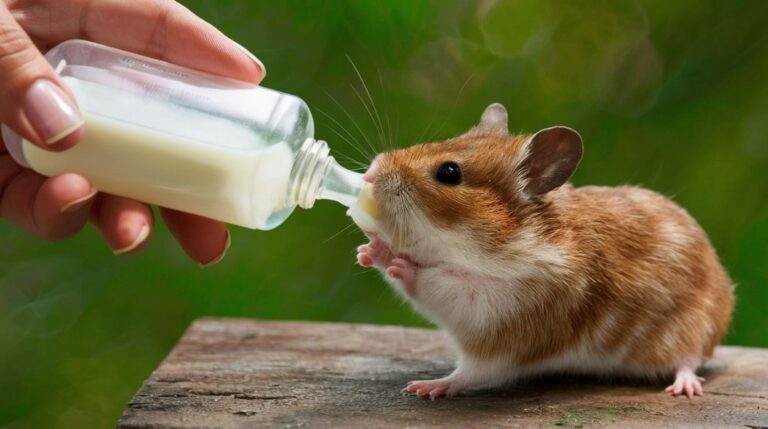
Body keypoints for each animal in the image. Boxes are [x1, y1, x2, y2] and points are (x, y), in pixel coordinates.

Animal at [353, 103, 734, 399]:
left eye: (449, 172)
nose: (370, 175)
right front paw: (371, 250)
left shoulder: (503, 319)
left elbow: (453, 327)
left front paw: (424, 387)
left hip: (687, 331)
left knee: (689, 360)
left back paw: (684, 388)